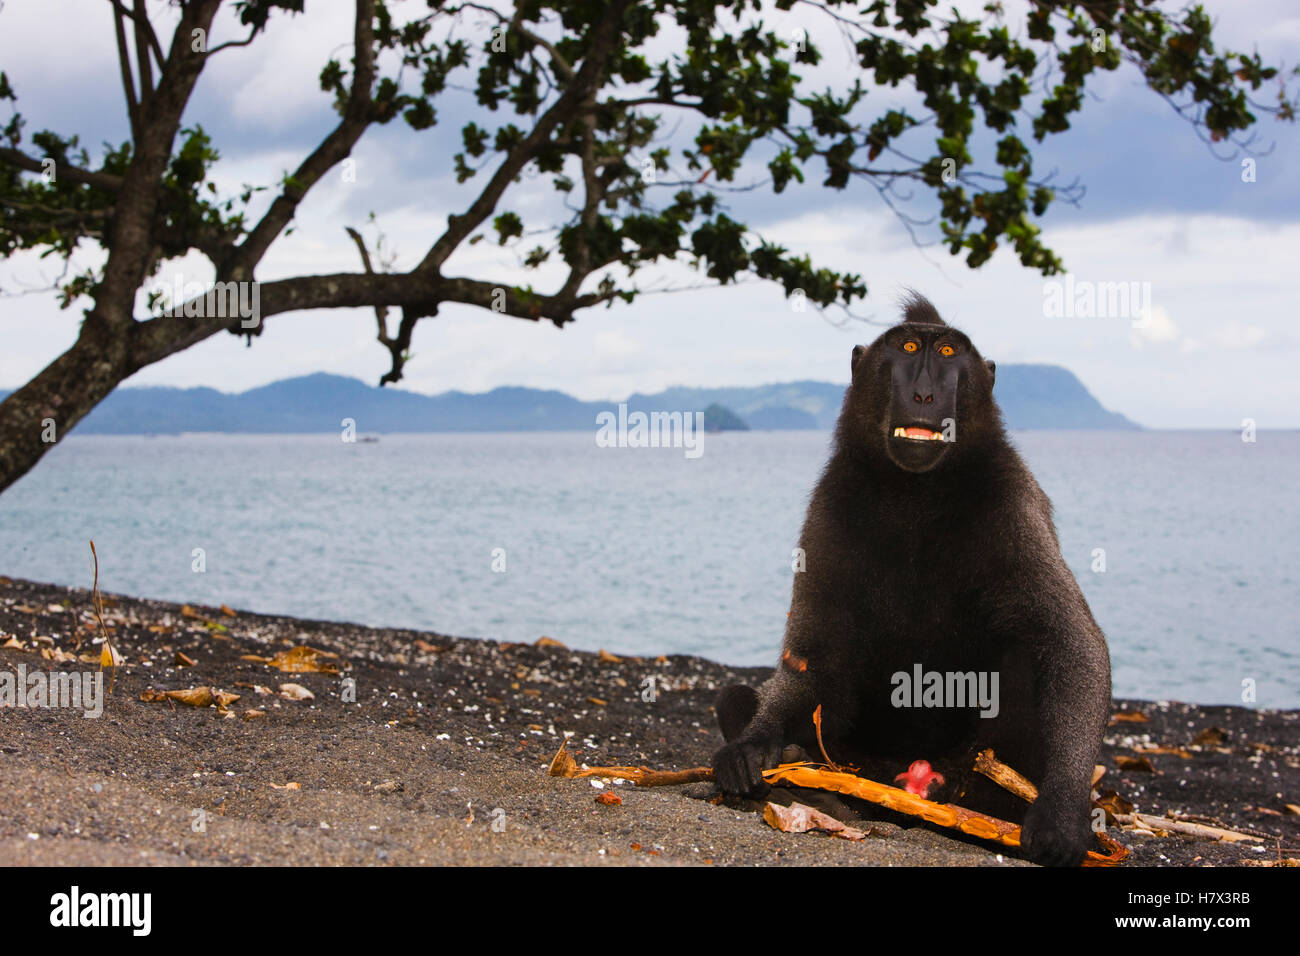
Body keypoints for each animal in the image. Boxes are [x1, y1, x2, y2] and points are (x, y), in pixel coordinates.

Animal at [712, 292, 1112, 867]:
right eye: (906, 348)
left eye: (946, 352)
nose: (924, 391)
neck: (917, 490)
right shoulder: (830, 504)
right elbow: (813, 653)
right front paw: (756, 744)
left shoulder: (1013, 501)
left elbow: (1069, 642)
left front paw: (1062, 809)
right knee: (739, 699)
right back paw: (806, 778)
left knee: (1025, 653)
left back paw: (982, 800)